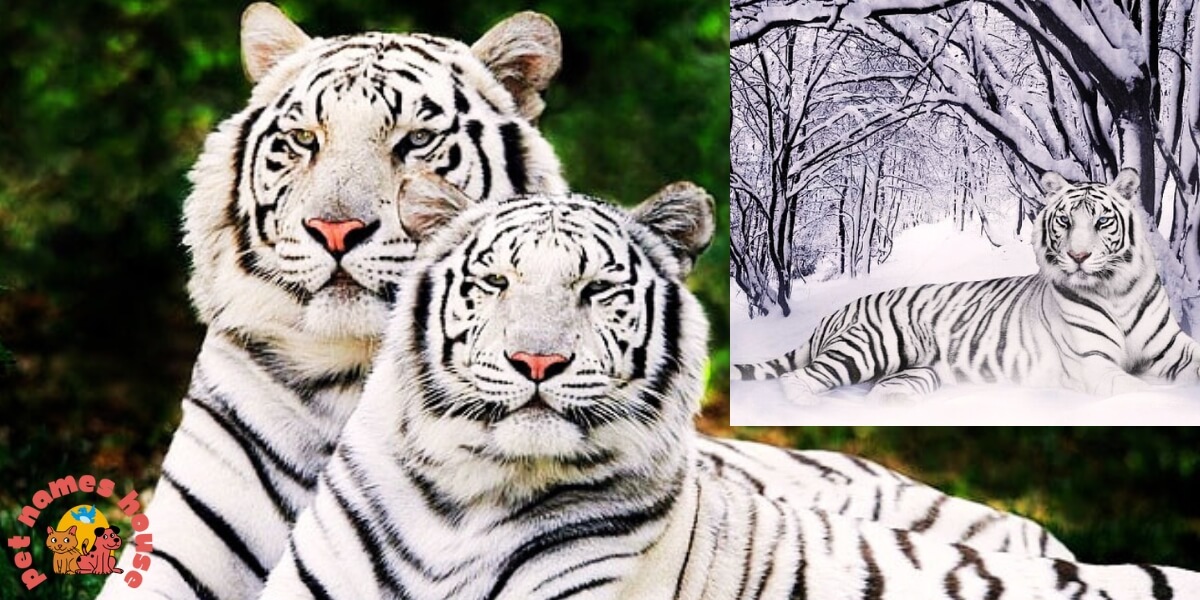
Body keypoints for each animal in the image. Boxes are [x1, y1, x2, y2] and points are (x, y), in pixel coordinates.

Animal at [733, 168, 1200, 402]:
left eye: (1102, 222)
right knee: (798, 380)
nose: (1079, 257)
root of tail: (833, 314)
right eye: (1065, 221)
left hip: (913, 374)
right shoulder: (1094, 363)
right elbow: (1141, 392)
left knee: (879, 393)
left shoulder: (1171, 348)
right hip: (870, 345)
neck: (1116, 291)